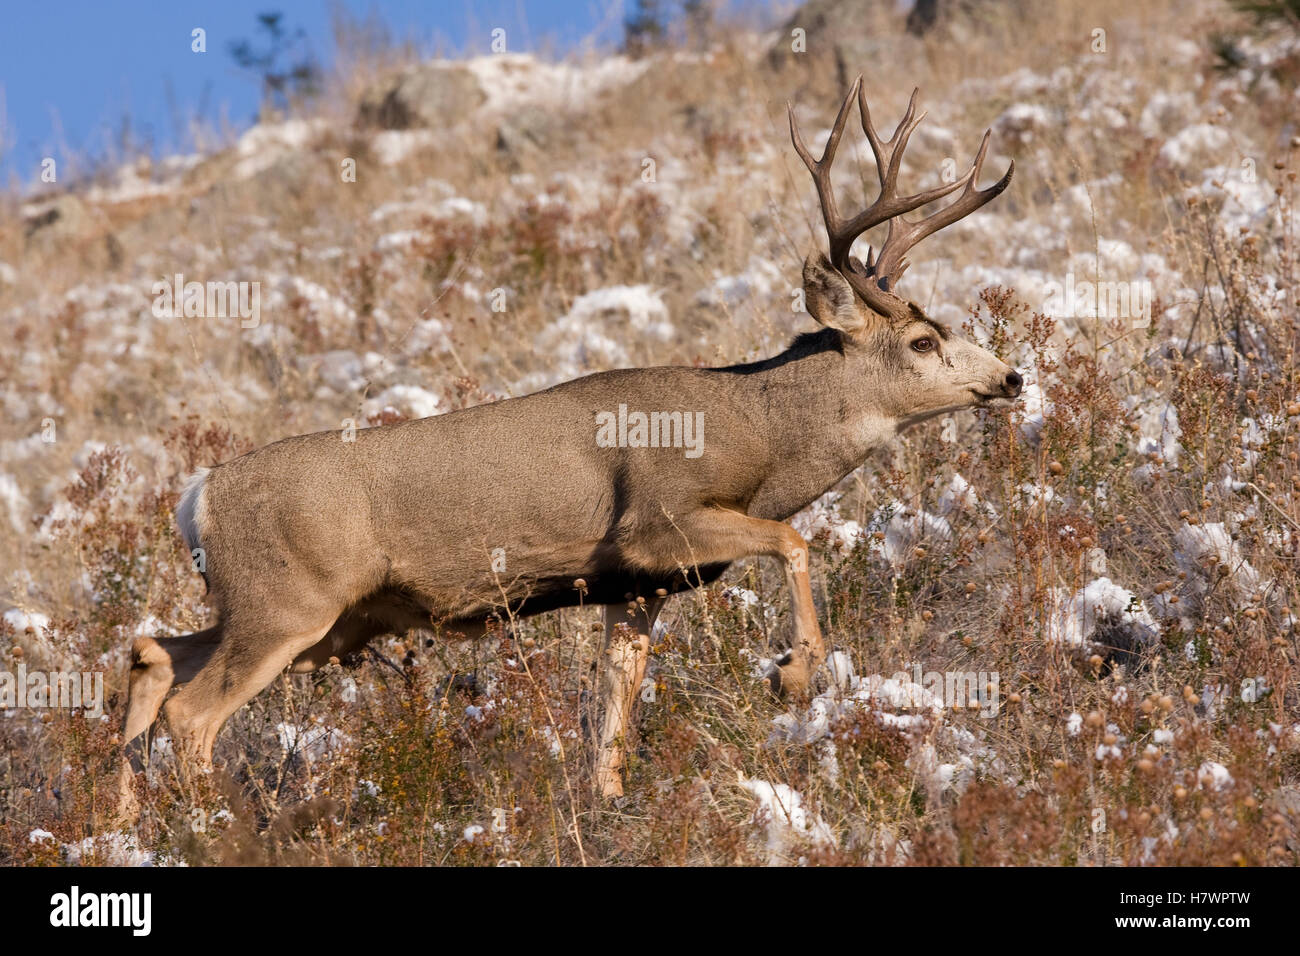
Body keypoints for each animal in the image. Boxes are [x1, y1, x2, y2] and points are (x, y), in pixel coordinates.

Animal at [118, 76, 1020, 812]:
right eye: (923, 343)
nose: (1012, 377)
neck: (754, 430)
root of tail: (197, 497)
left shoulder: (638, 583)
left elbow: (617, 696)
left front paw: (609, 798)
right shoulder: (658, 520)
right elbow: (792, 540)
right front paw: (795, 674)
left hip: (309, 617)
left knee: (152, 655)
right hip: (289, 602)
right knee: (191, 711)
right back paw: (227, 827)